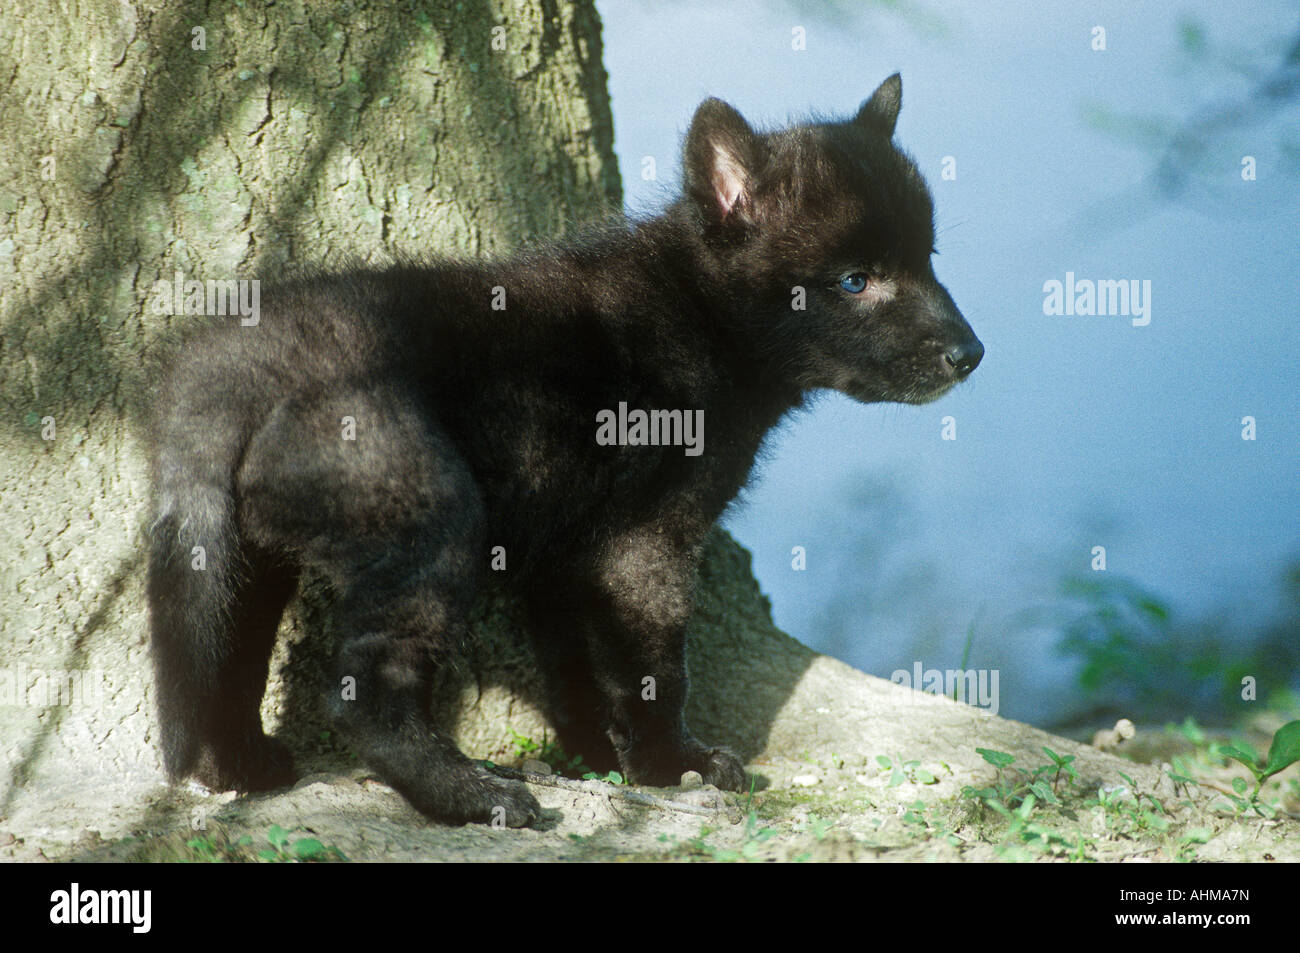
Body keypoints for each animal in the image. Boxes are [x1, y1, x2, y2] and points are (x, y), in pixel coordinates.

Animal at [145, 74, 982, 827]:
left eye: (930, 258)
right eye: (855, 280)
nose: (971, 355)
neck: (700, 311)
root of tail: (240, 364)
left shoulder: (561, 549)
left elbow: (573, 668)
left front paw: (597, 758)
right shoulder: (647, 541)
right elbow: (655, 669)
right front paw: (672, 763)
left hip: (241, 552)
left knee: (219, 657)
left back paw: (239, 764)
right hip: (434, 523)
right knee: (367, 694)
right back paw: (473, 795)